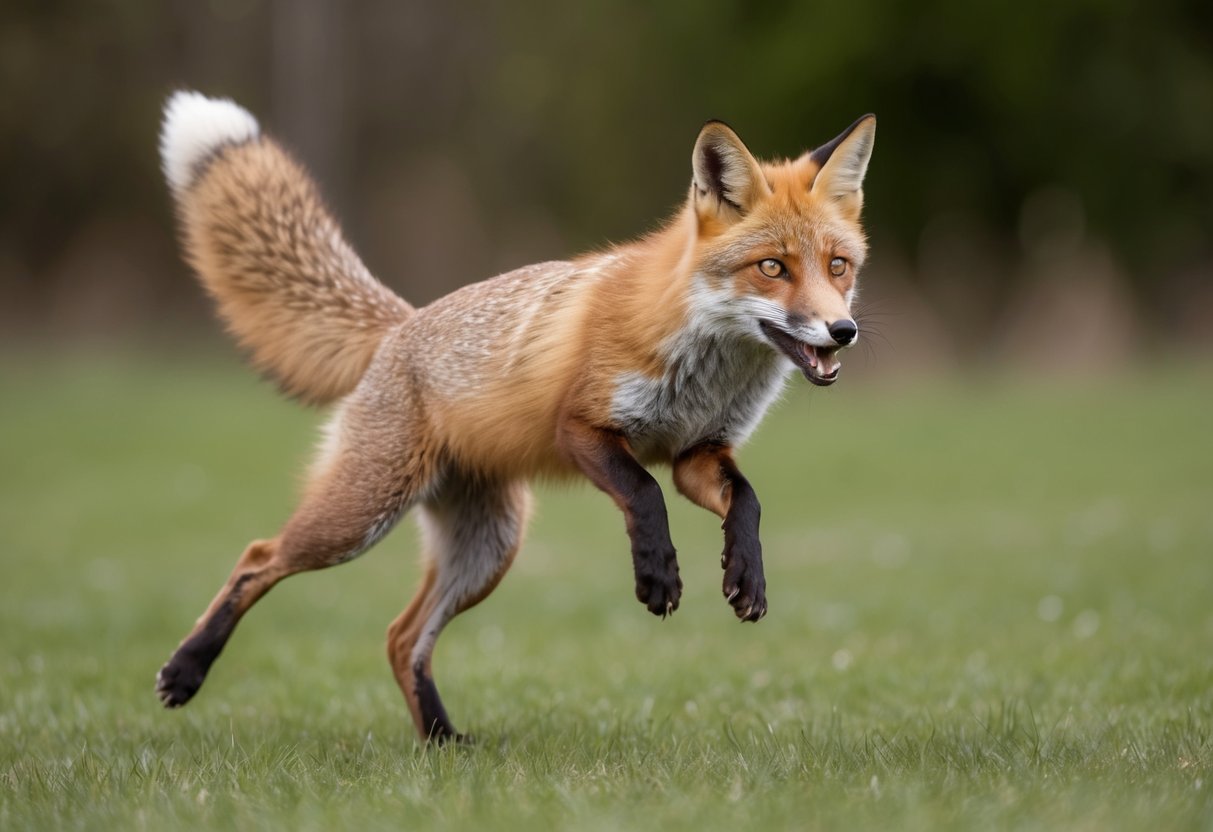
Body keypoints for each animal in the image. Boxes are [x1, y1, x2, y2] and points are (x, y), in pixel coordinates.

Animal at [155, 90, 876, 743]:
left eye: (838, 266)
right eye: (772, 267)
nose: (842, 332)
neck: (709, 366)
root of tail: (401, 325)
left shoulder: (698, 454)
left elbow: (747, 502)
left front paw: (745, 576)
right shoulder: (582, 428)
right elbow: (643, 495)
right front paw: (656, 577)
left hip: (486, 548)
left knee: (400, 637)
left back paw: (442, 741)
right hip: (361, 517)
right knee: (259, 558)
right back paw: (187, 670)